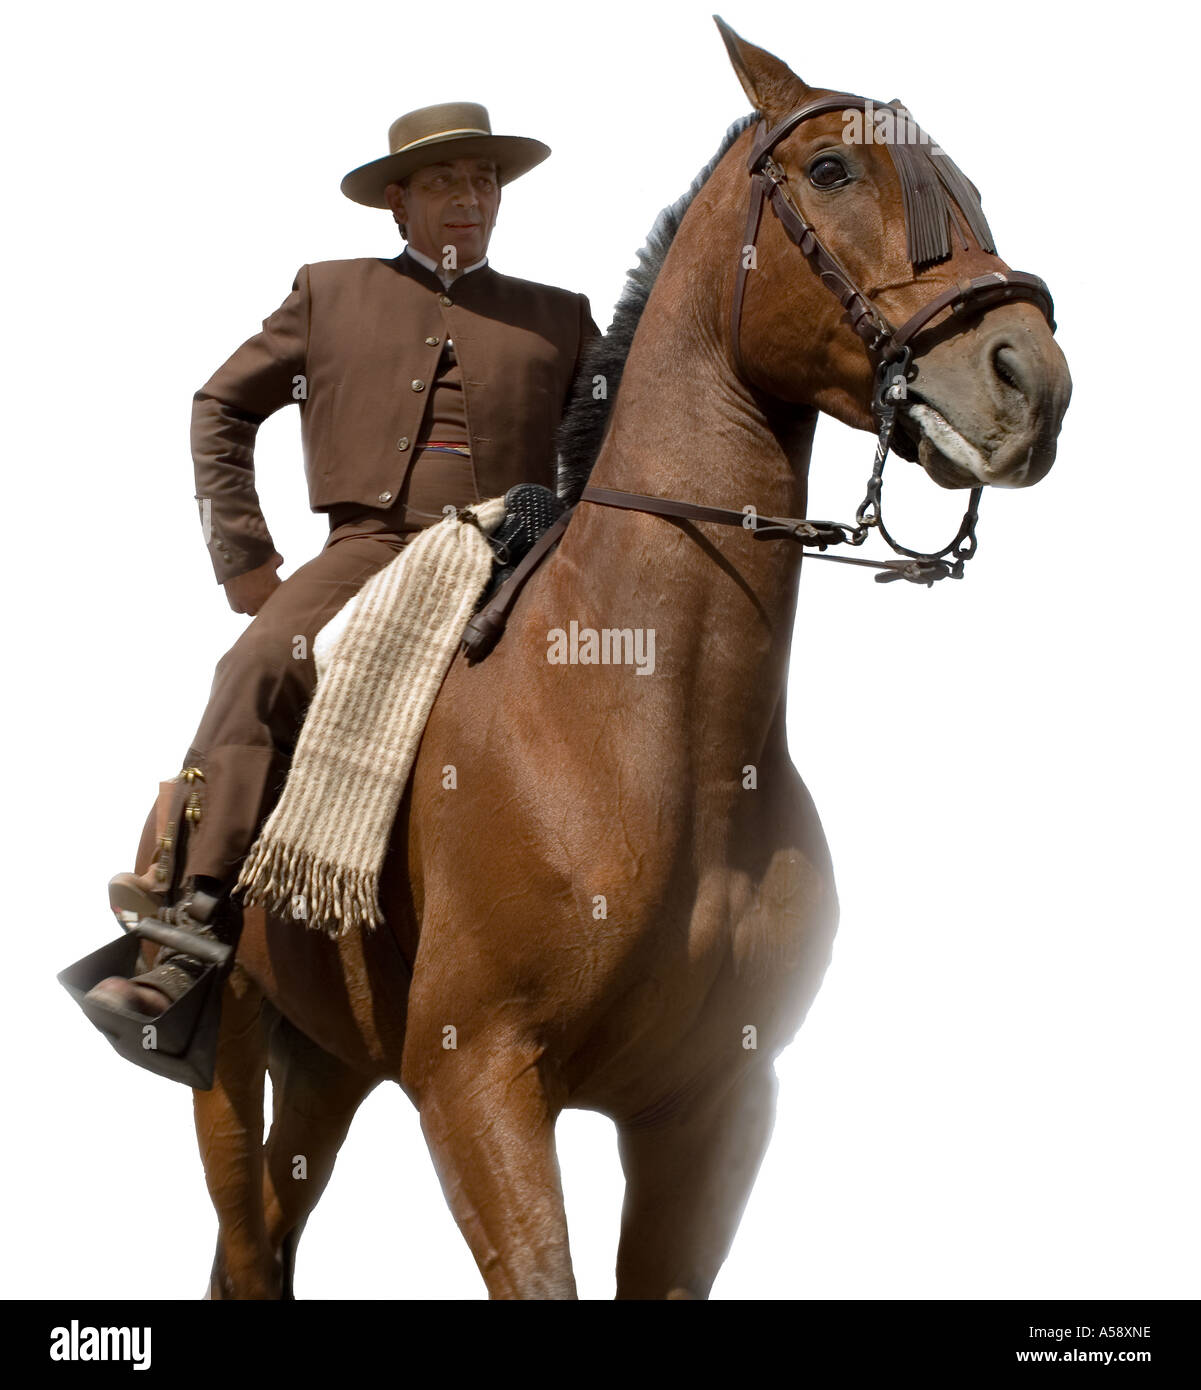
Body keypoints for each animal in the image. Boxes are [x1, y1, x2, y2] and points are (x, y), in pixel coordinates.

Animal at [139, 18, 1070, 1298]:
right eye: (832, 169)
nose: (1030, 379)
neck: (650, 725)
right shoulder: (477, 1079)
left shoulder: (712, 1108)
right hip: (227, 1065)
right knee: (245, 1242)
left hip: (328, 1062)